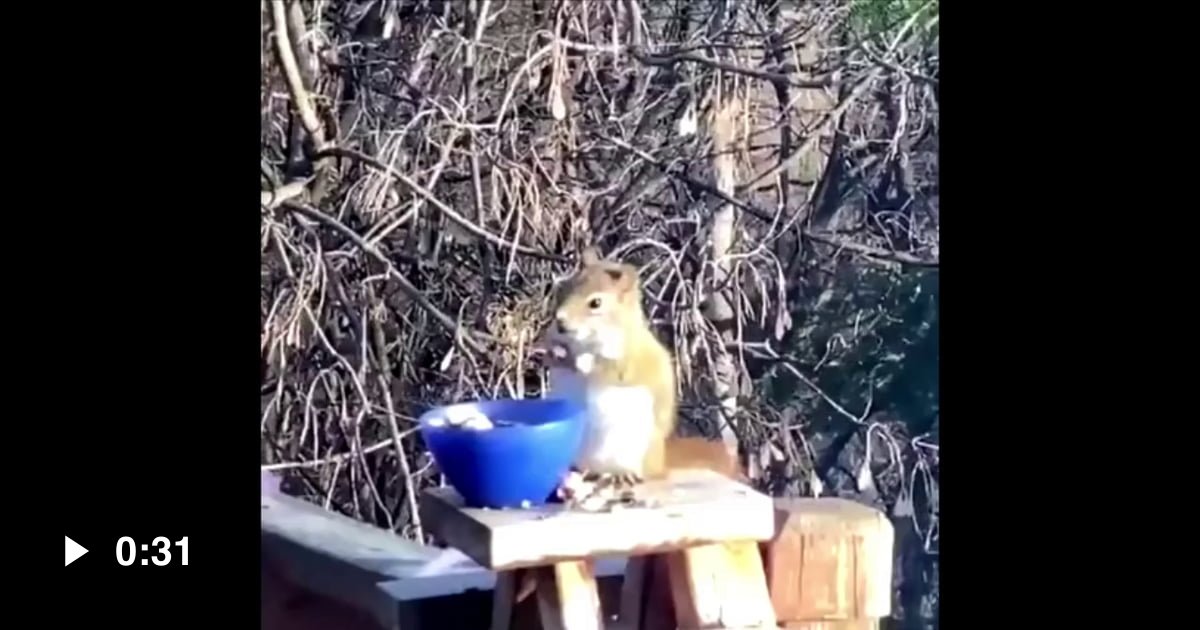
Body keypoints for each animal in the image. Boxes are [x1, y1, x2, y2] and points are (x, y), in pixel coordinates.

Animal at [538, 245, 741, 488]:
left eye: (596, 303)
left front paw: (578, 360)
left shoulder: (628, 359)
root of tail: (661, 463)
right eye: (565, 288)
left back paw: (622, 475)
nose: (560, 321)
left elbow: (605, 367)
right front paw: (551, 353)